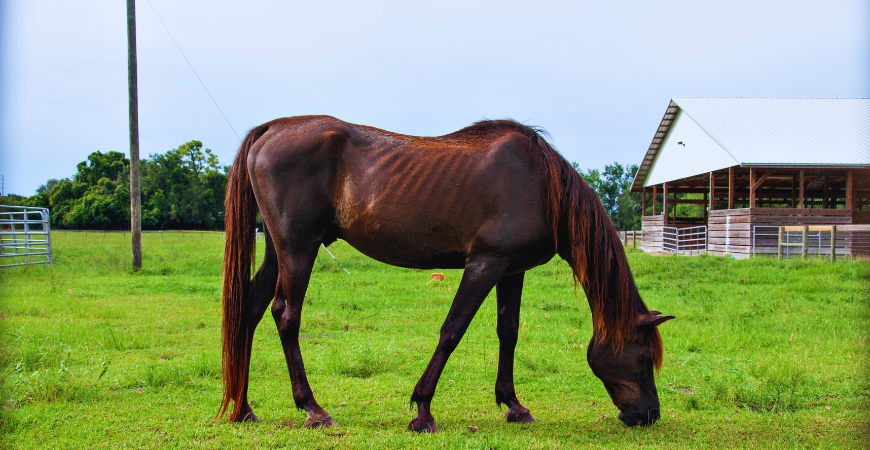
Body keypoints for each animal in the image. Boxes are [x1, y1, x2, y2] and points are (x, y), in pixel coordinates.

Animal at [218, 116, 674, 431]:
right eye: (643, 355)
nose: (649, 414)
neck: (540, 184)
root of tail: (273, 128)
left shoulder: (511, 270)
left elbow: (508, 331)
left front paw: (514, 405)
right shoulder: (484, 264)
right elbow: (452, 330)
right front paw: (422, 410)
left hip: (279, 252)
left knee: (251, 311)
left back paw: (243, 408)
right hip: (298, 250)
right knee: (286, 316)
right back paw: (313, 410)